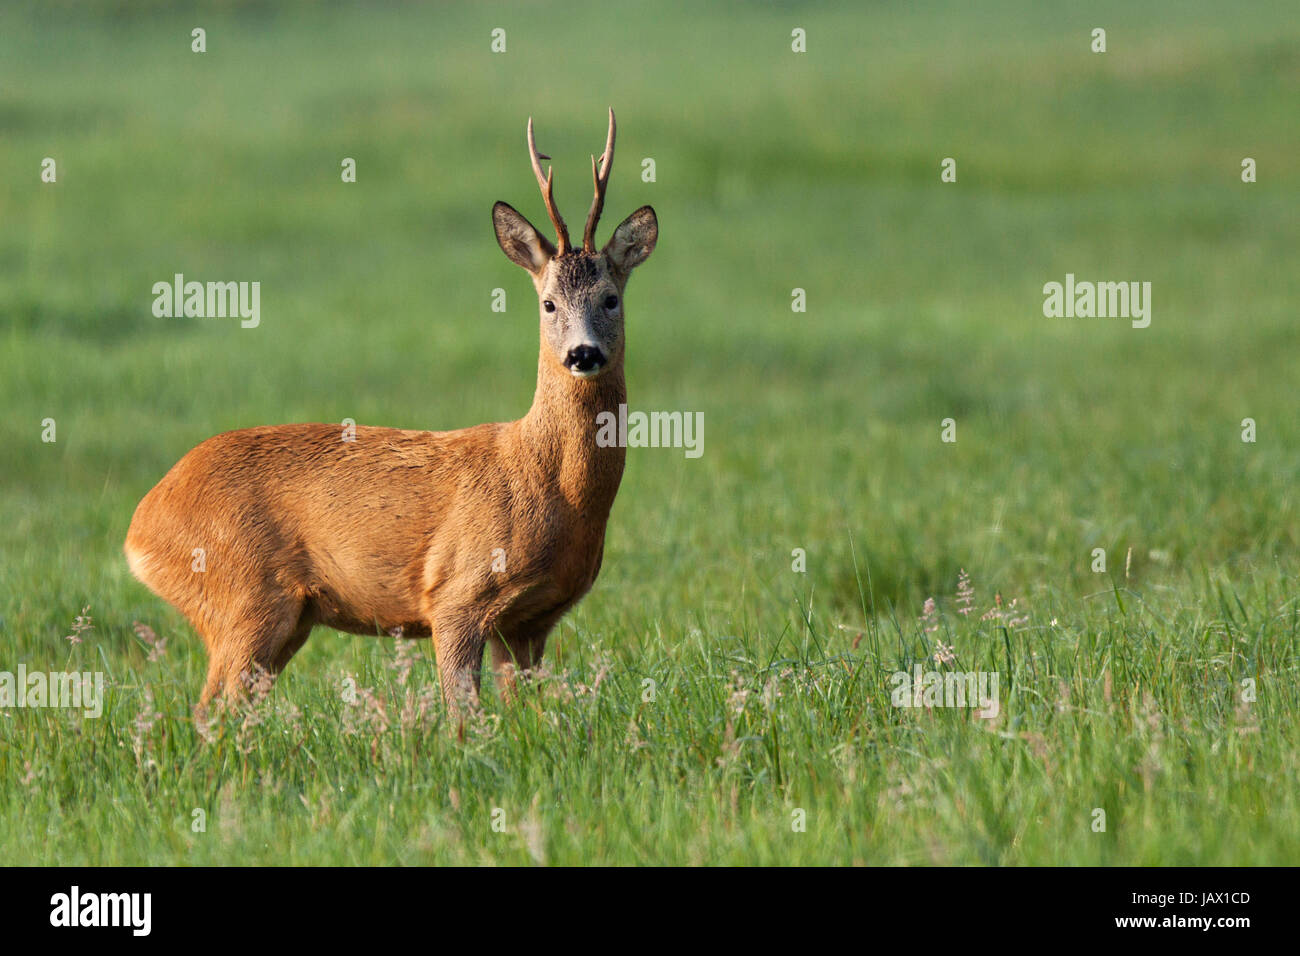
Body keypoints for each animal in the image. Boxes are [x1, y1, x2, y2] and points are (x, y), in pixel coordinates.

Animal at [124, 109, 657, 721]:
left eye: (611, 298)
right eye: (548, 303)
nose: (583, 354)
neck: (554, 487)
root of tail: (140, 526)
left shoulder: (530, 621)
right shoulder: (455, 594)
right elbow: (463, 717)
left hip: (285, 618)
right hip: (243, 596)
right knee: (211, 710)